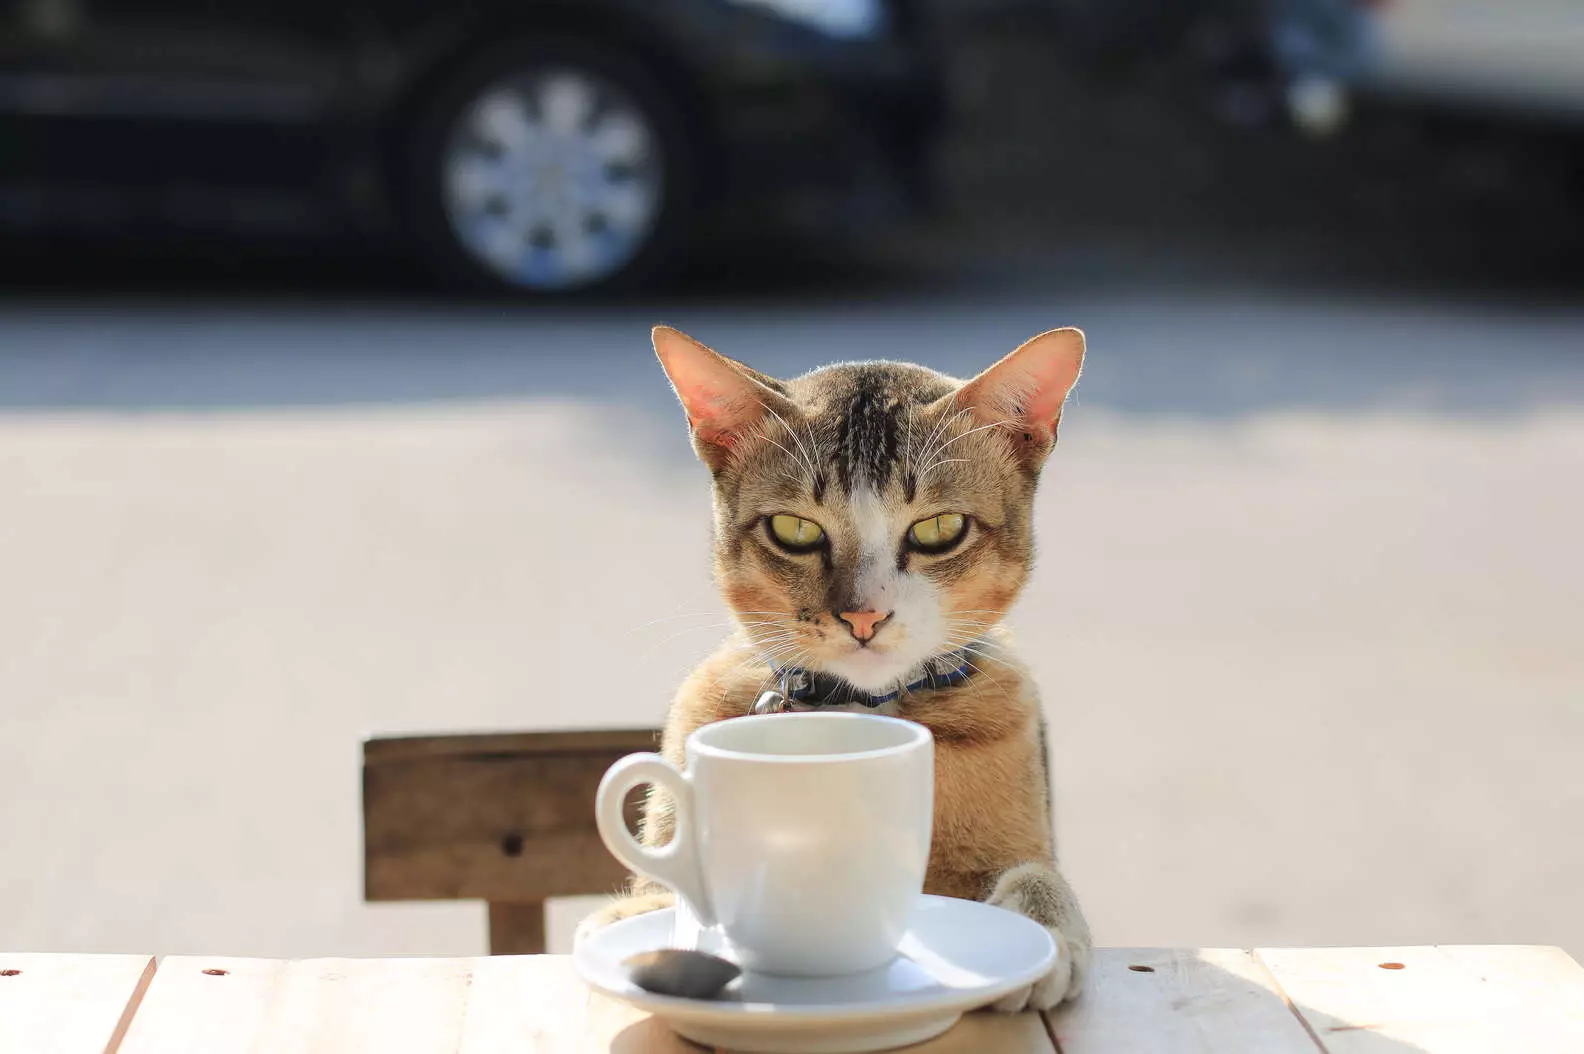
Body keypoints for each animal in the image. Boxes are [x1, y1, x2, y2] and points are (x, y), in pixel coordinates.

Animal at [576, 323, 1096, 1014]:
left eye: (940, 528)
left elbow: (1036, 873)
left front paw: (1045, 936)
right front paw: (633, 929)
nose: (864, 616)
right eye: (794, 529)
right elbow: (659, 896)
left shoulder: (1020, 832)